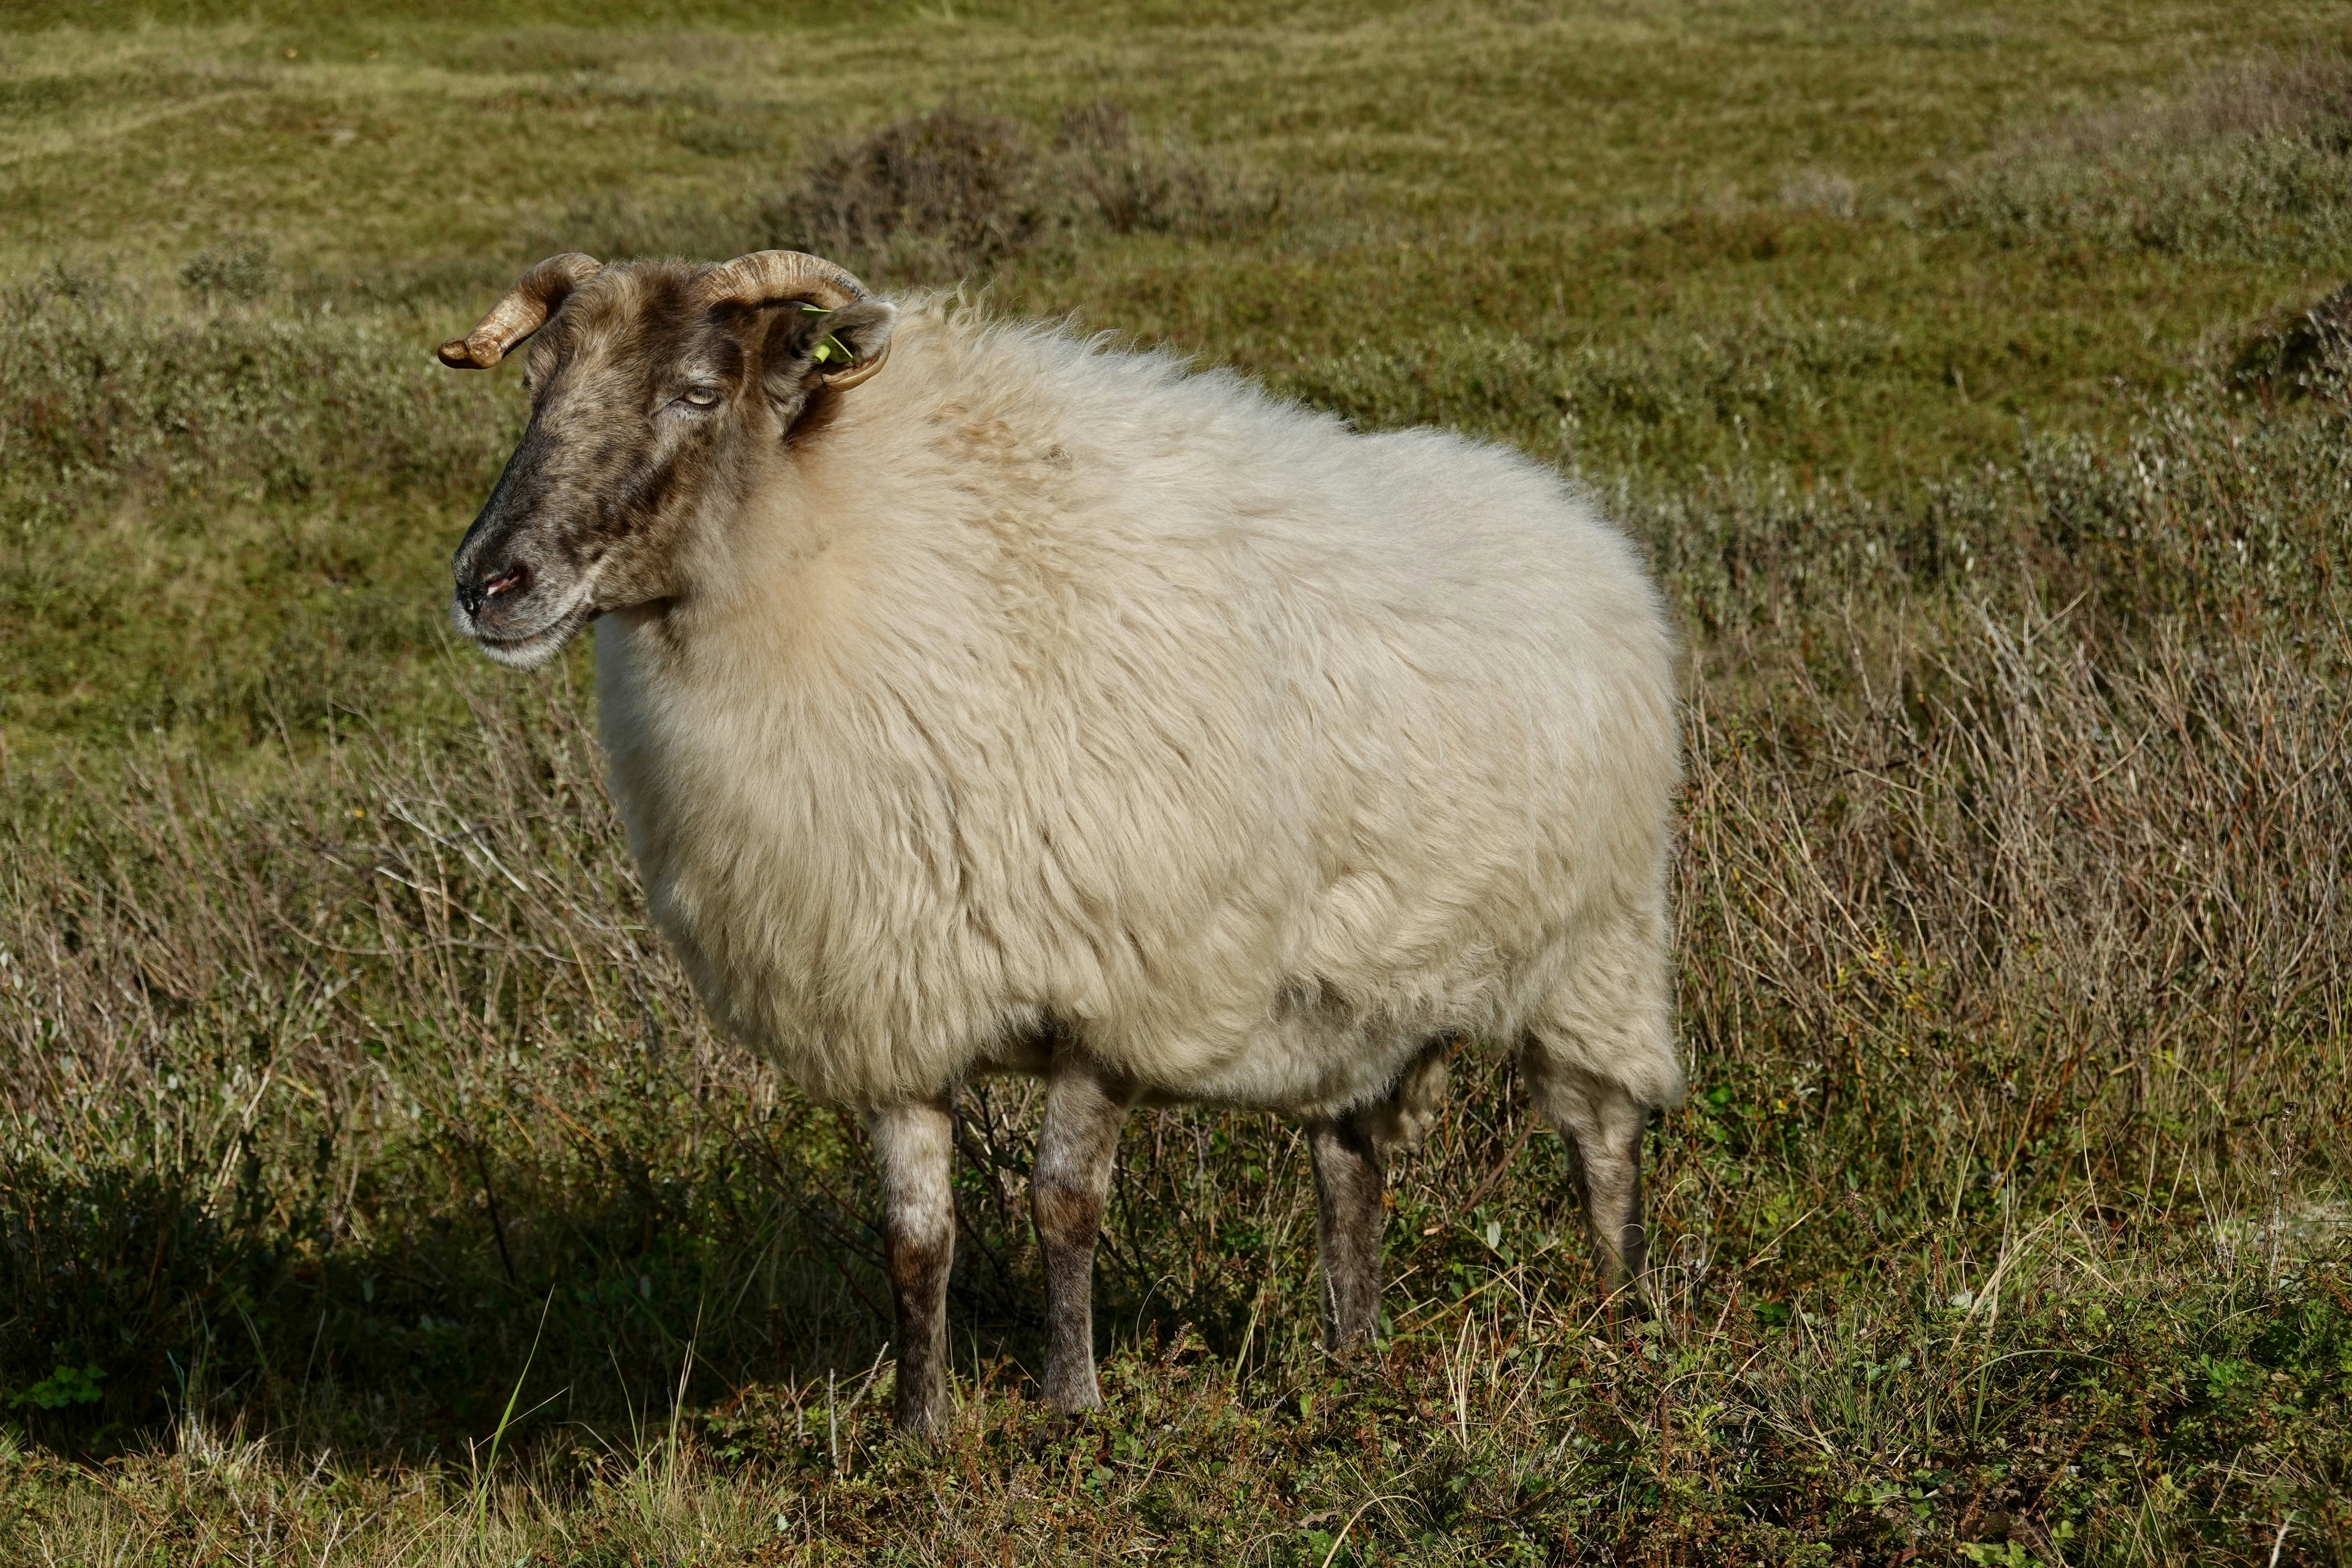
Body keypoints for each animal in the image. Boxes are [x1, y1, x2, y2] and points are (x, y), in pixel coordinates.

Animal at [439, 250, 1683, 1436]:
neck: (839, 550)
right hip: (1361, 995)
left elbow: (1060, 1204)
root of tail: (1563, 507)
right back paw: (1349, 1363)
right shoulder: (894, 992)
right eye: (535, 387)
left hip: (1598, 946)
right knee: (1348, 1163)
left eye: (697, 391)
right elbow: (915, 1237)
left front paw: (1070, 1407)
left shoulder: (1111, 984)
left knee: (1602, 1141)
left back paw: (1620, 1330)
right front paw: (920, 1428)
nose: (488, 584)